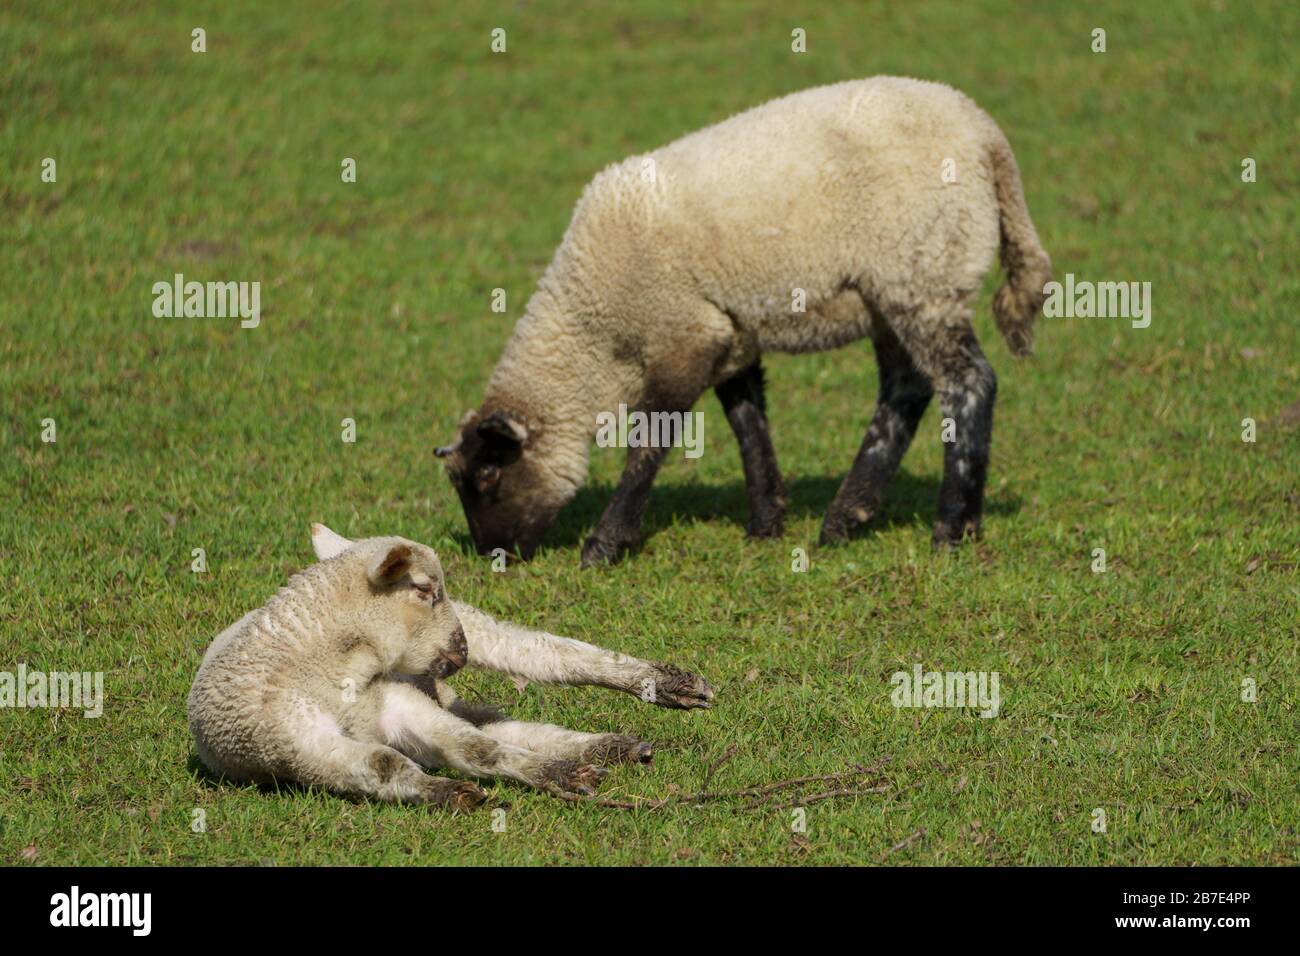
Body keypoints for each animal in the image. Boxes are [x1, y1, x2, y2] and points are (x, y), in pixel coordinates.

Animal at [186, 523, 714, 806]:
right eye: (424, 589)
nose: (460, 652)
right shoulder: (296, 745)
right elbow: (387, 764)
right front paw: (449, 793)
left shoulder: (395, 701)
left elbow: (475, 748)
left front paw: (558, 775)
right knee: (505, 725)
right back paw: (605, 749)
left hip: (468, 646)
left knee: (543, 652)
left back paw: (662, 685)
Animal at [435, 75, 1052, 566]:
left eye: (489, 476)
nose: (492, 555)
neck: (594, 333)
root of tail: (985, 135)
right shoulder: (729, 334)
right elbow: (748, 424)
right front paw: (765, 523)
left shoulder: (683, 331)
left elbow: (651, 437)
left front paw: (606, 544)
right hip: (891, 293)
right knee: (906, 389)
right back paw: (846, 518)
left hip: (922, 274)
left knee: (968, 383)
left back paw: (951, 528)